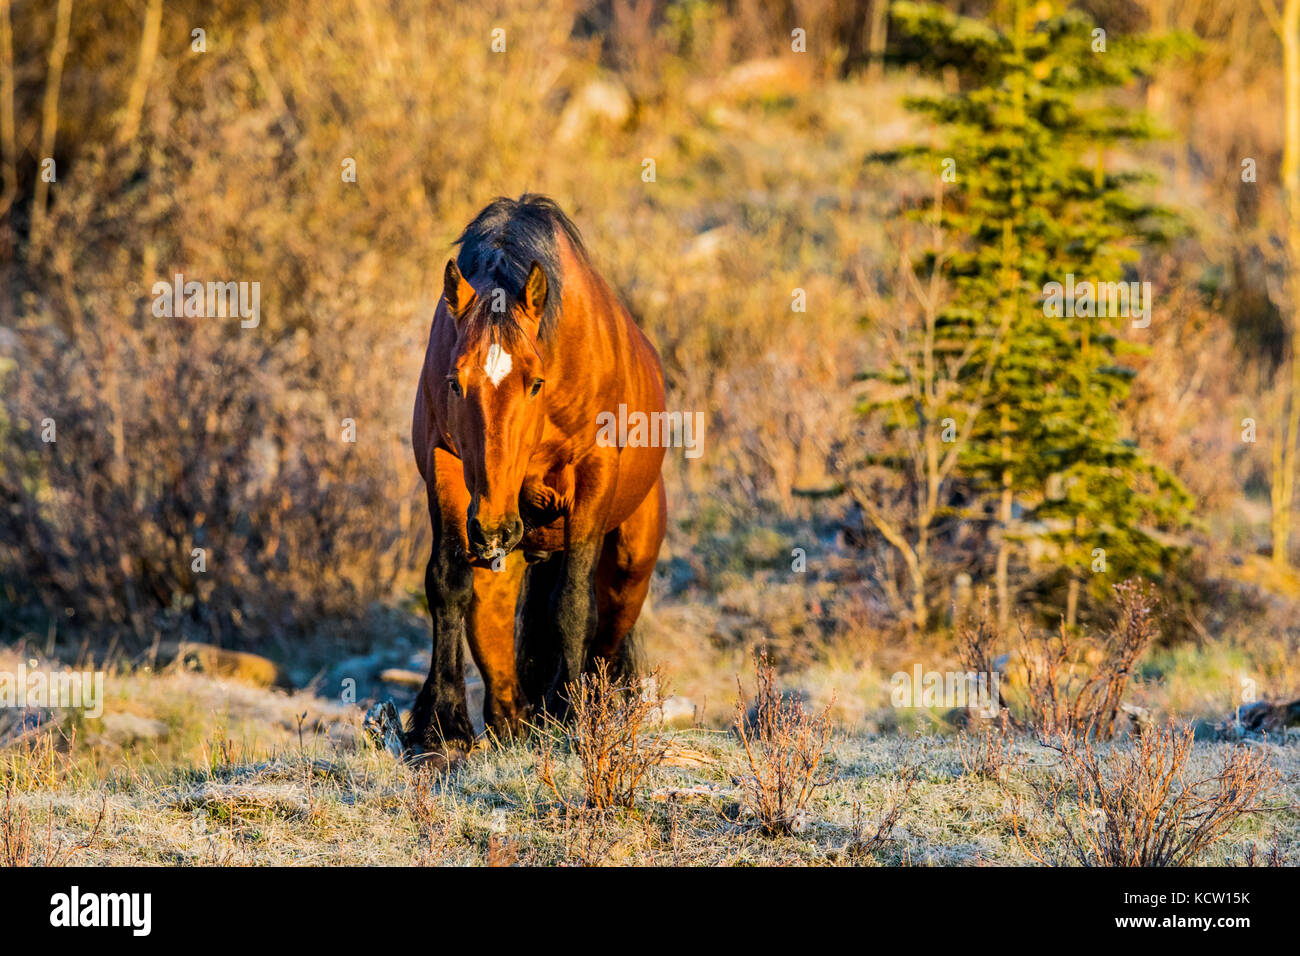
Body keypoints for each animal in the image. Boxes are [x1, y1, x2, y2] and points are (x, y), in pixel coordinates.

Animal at [408, 194, 667, 758]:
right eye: (455, 382)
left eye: (535, 382)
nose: (493, 528)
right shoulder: (446, 465)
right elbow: (447, 585)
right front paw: (441, 722)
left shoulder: (593, 477)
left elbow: (571, 603)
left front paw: (571, 713)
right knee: (492, 619)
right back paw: (513, 722)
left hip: (630, 559)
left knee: (607, 636)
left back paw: (587, 709)